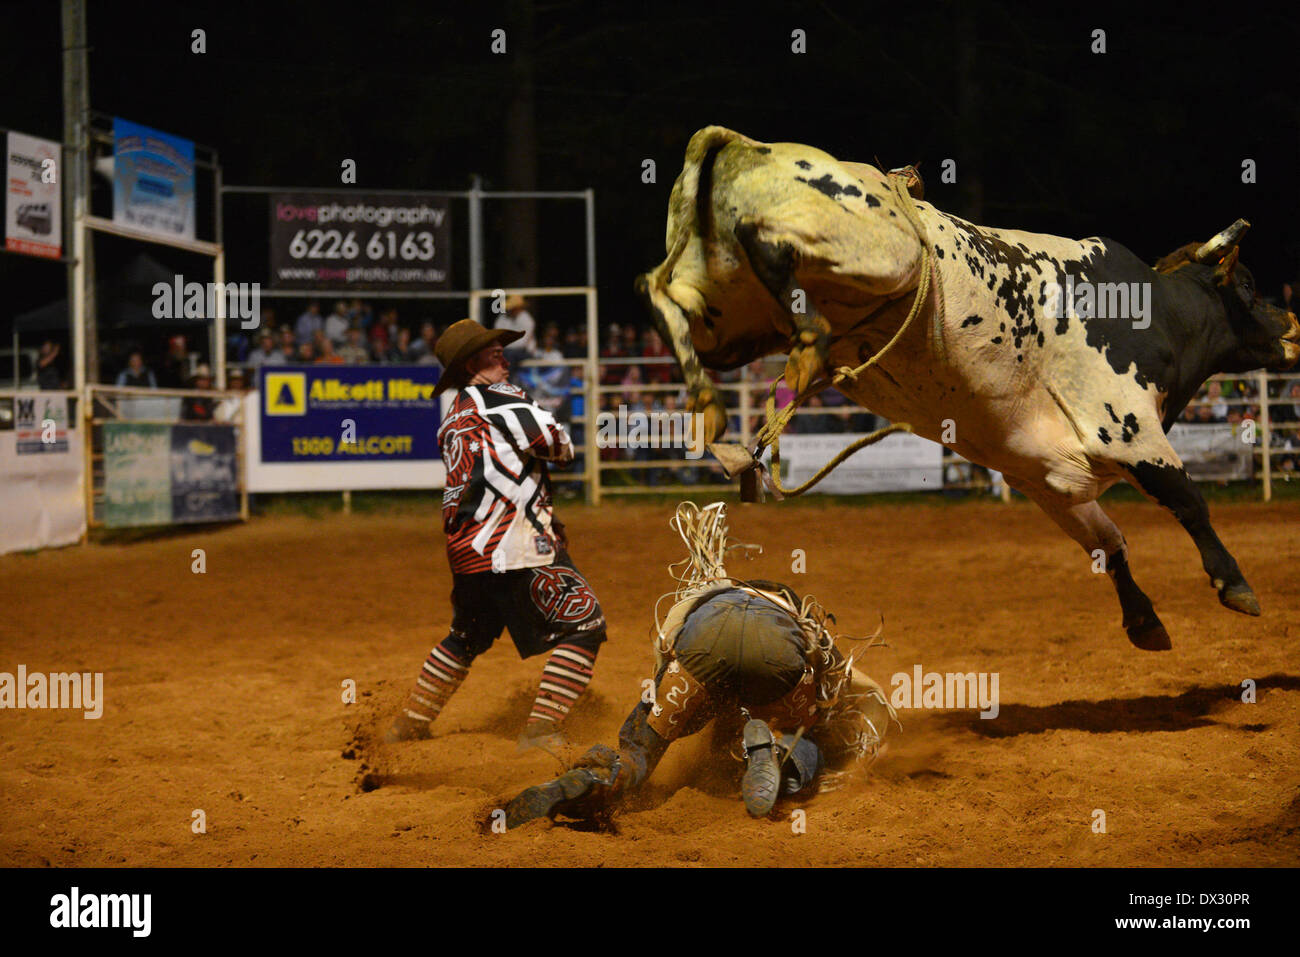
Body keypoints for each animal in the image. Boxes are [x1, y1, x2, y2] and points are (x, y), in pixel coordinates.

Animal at [636, 126, 1300, 651]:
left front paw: (1143, 621)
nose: (1292, 326)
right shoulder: (1128, 431)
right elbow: (1189, 502)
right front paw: (1236, 585)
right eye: (1248, 284)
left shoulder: (1046, 478)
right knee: (763, 238)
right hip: (882, 253)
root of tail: (743, 144)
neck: (1150, 312)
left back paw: (723, 406)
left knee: (664, 292)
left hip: (727, 315)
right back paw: (806, 341)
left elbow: (1107, 541)